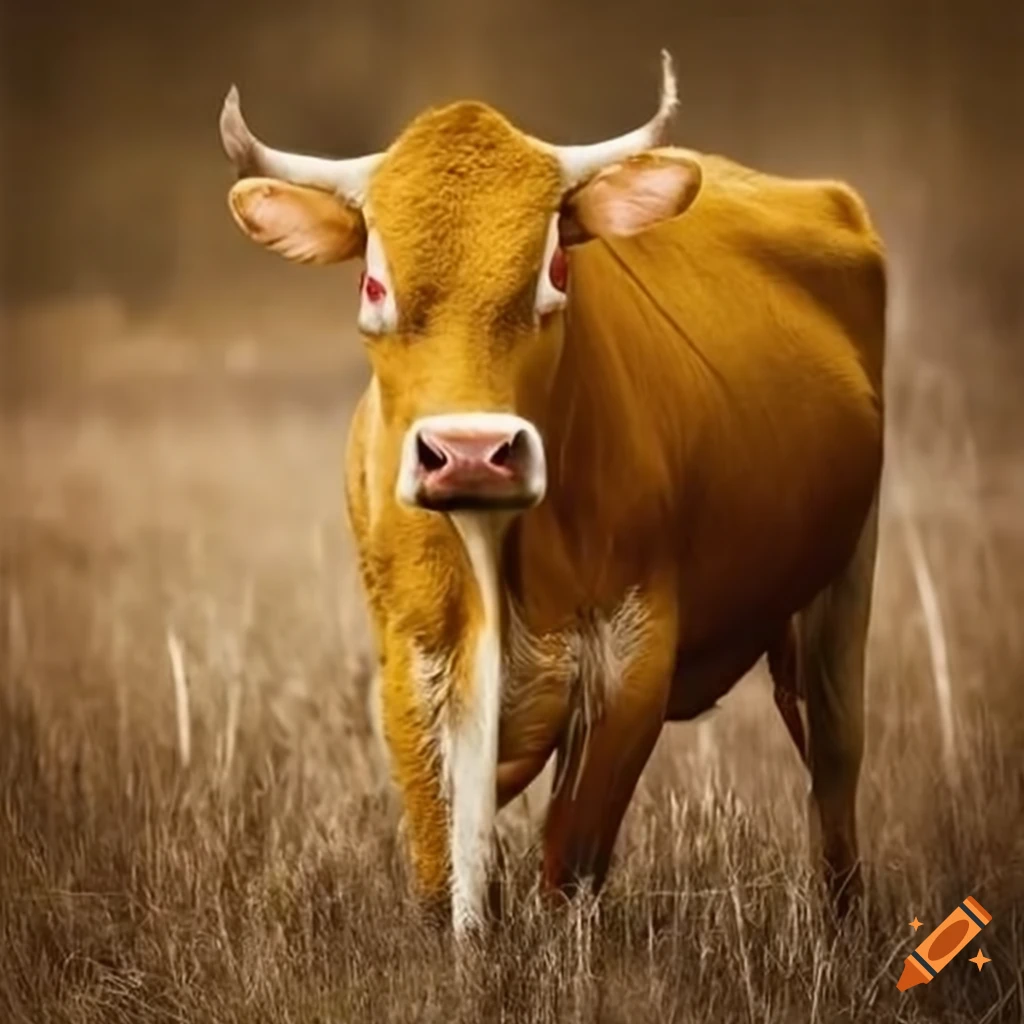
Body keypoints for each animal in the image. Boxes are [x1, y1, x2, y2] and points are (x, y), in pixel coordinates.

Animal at [218, 50, 886, 939]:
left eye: (556, 268)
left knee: (836, 763)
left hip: (847, 578)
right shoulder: (413, 659)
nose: (470, 454)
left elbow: (570, 863)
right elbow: (445, 865)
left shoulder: (631, 658)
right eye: (373, 285)